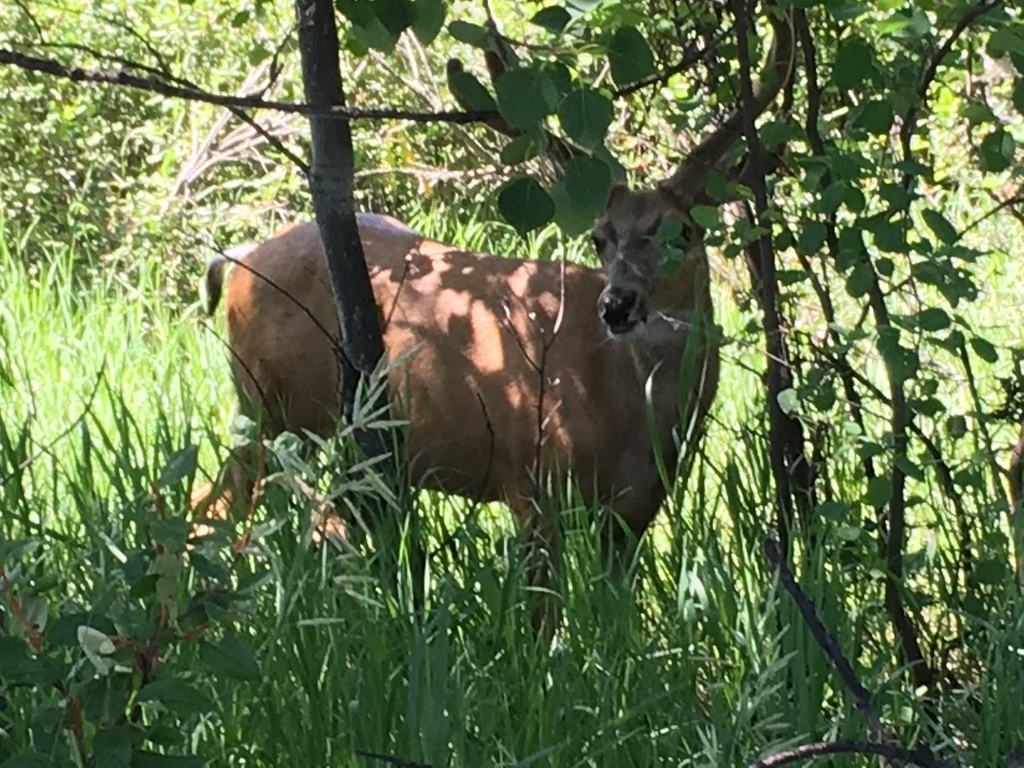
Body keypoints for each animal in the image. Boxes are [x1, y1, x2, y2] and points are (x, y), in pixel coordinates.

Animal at [195, 8, 794, 629]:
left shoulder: (635, 509)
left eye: (682, 232)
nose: (616, 305)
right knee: (218, 504)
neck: (626, 409)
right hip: (267, 404)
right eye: (599, 238)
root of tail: (237, 260)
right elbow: (540, 618)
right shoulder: (531, 478)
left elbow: (616, 617)